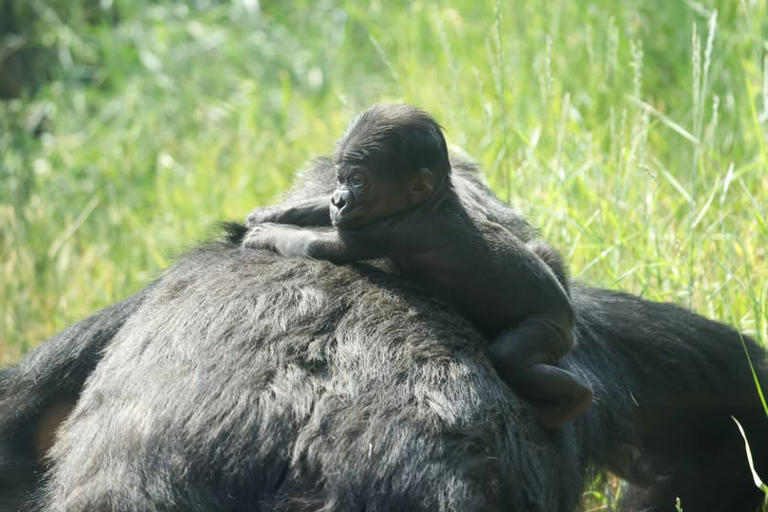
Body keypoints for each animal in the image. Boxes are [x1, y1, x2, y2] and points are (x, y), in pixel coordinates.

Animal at [242, 104, 591, 428]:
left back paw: (575, 399)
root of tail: (569, 316)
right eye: (340, 179)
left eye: (358, 180)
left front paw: (269, 234)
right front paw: (271, 213)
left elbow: (325, 245)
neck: (432, 199)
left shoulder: (405, 228)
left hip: (550, 326)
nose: (339, 199)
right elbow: (318, 212)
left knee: (512, 357)